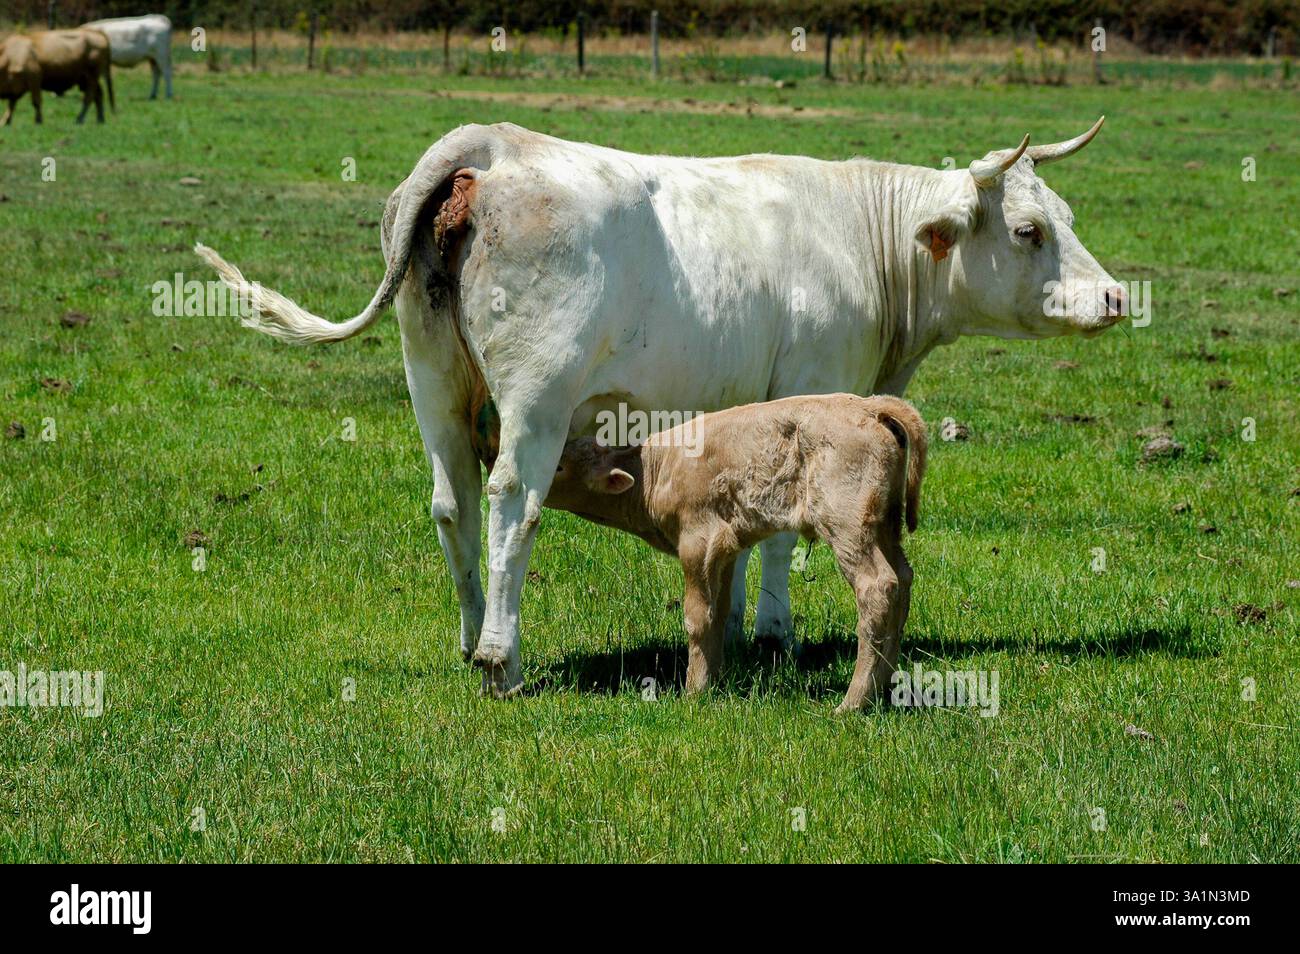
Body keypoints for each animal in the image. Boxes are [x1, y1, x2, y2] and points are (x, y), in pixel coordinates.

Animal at [545, 393, 927, 712]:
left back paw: (853, 702)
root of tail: (871, 406)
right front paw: (713, 681)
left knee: (877, 587)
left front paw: (693, 691)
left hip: (847, 522)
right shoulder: (725, 549)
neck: (655, 471)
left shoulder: (697, 540)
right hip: (884, 524)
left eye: (560, 467)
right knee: (903, 579)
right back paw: (883, 686)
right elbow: (720, 611)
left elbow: (697, 616)